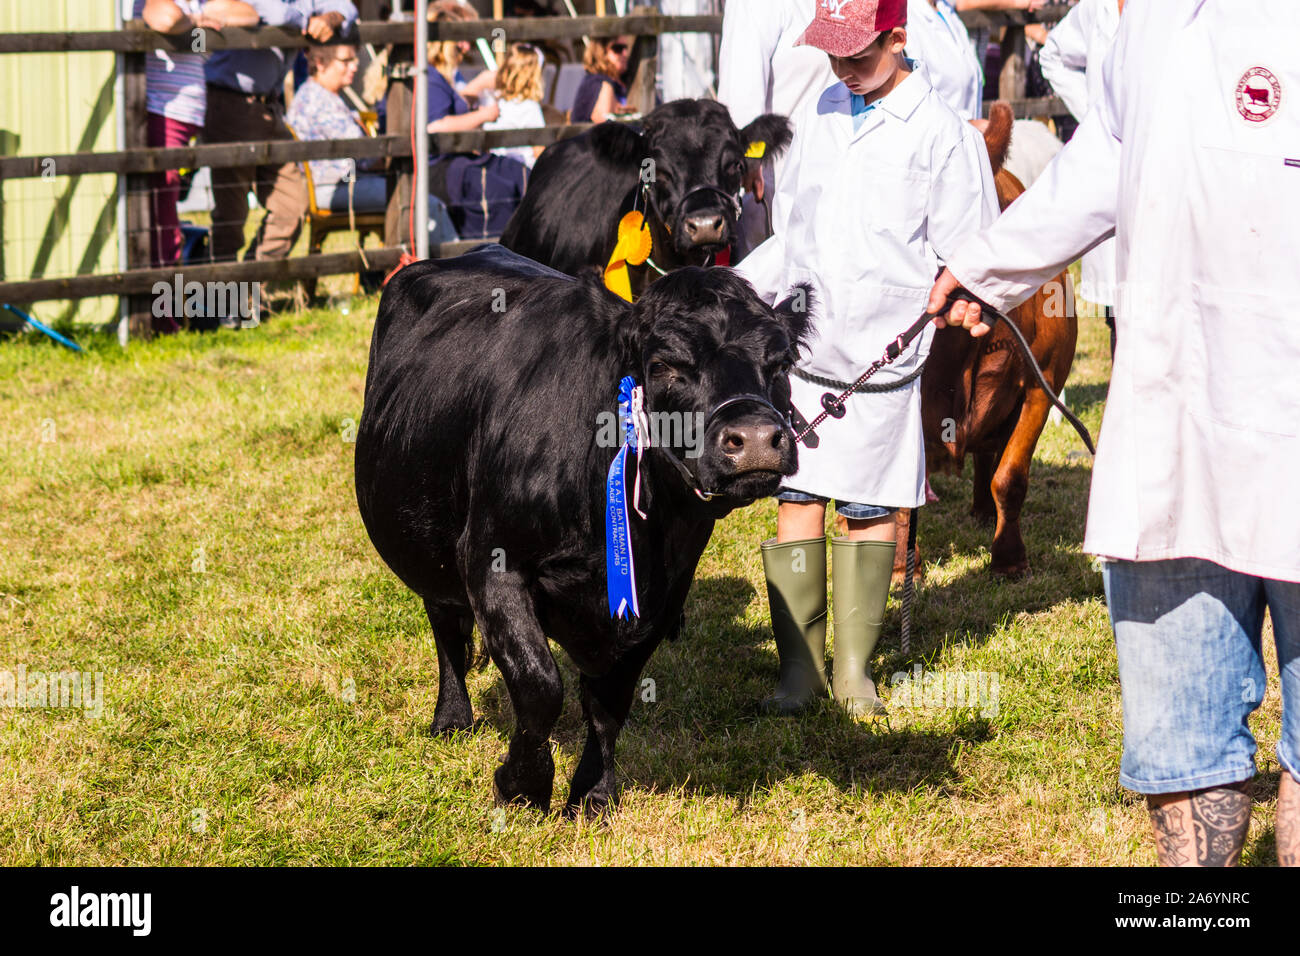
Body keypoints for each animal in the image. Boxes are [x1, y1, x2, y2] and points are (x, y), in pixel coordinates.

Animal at [354, 245, 811, 816]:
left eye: (782, 363)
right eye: (664, 365)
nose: (753, 439)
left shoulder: (661, 594)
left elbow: (610, 700)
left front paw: (593, 792)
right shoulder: (490, 562)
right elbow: (539, 683)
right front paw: (522, 786)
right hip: (429, 544)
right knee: (447, 627)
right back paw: (452, 717)